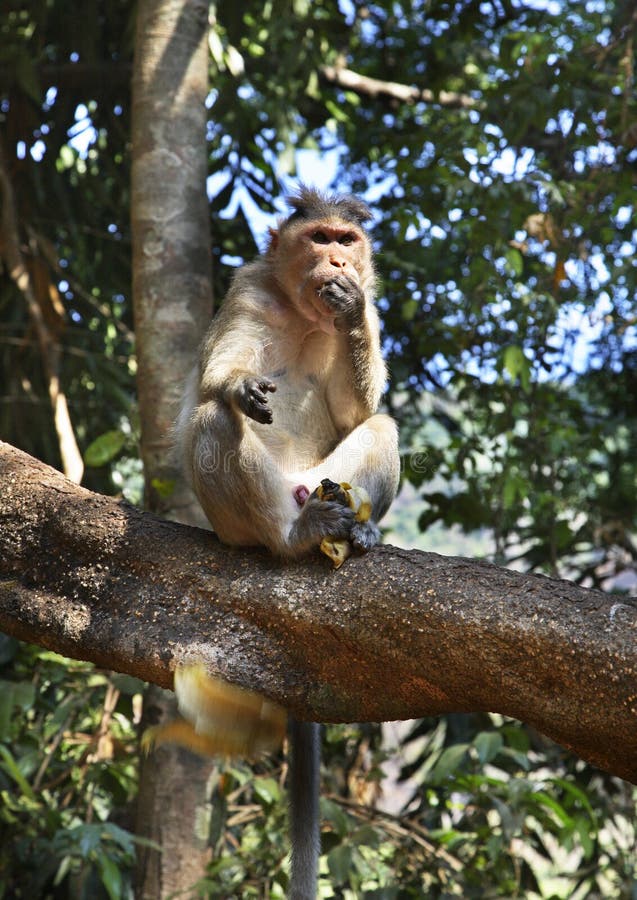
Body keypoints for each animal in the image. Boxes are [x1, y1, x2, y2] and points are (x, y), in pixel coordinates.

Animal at [174, 186, 400, 899]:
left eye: (346, 241)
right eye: (318, 237)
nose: (336, 260)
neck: (303, 310)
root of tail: (300, 491)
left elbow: (359, 412)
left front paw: (349, 311)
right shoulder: (246, 290)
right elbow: (219, 381)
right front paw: (238, 385)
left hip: (328, 479)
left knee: (380, 427)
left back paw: (355, 526)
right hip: (244, 516)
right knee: (216, 420)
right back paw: (294, 539)